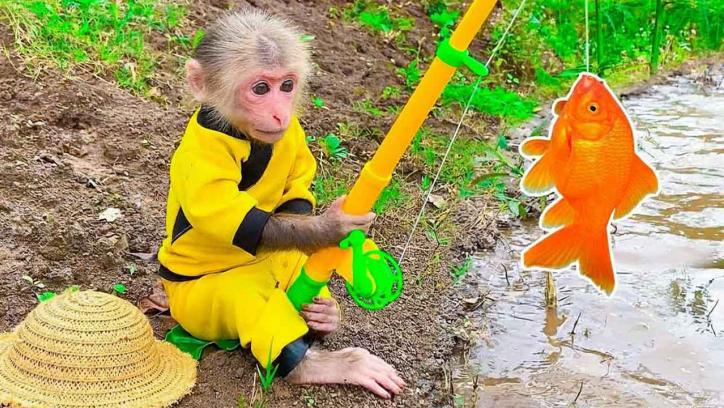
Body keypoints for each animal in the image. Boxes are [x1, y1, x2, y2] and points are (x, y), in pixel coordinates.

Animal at [156, 8, 405, 399]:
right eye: (260, 89)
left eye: (286, 86)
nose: (279, 113)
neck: (244, 134)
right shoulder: (204, 155)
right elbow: (238, 219)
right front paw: (332, 226)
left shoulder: (293, 136)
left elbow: (295, 192)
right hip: (194, 306)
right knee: (245, 296)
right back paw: (321, 364)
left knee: (294, 264)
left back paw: (323, 315)